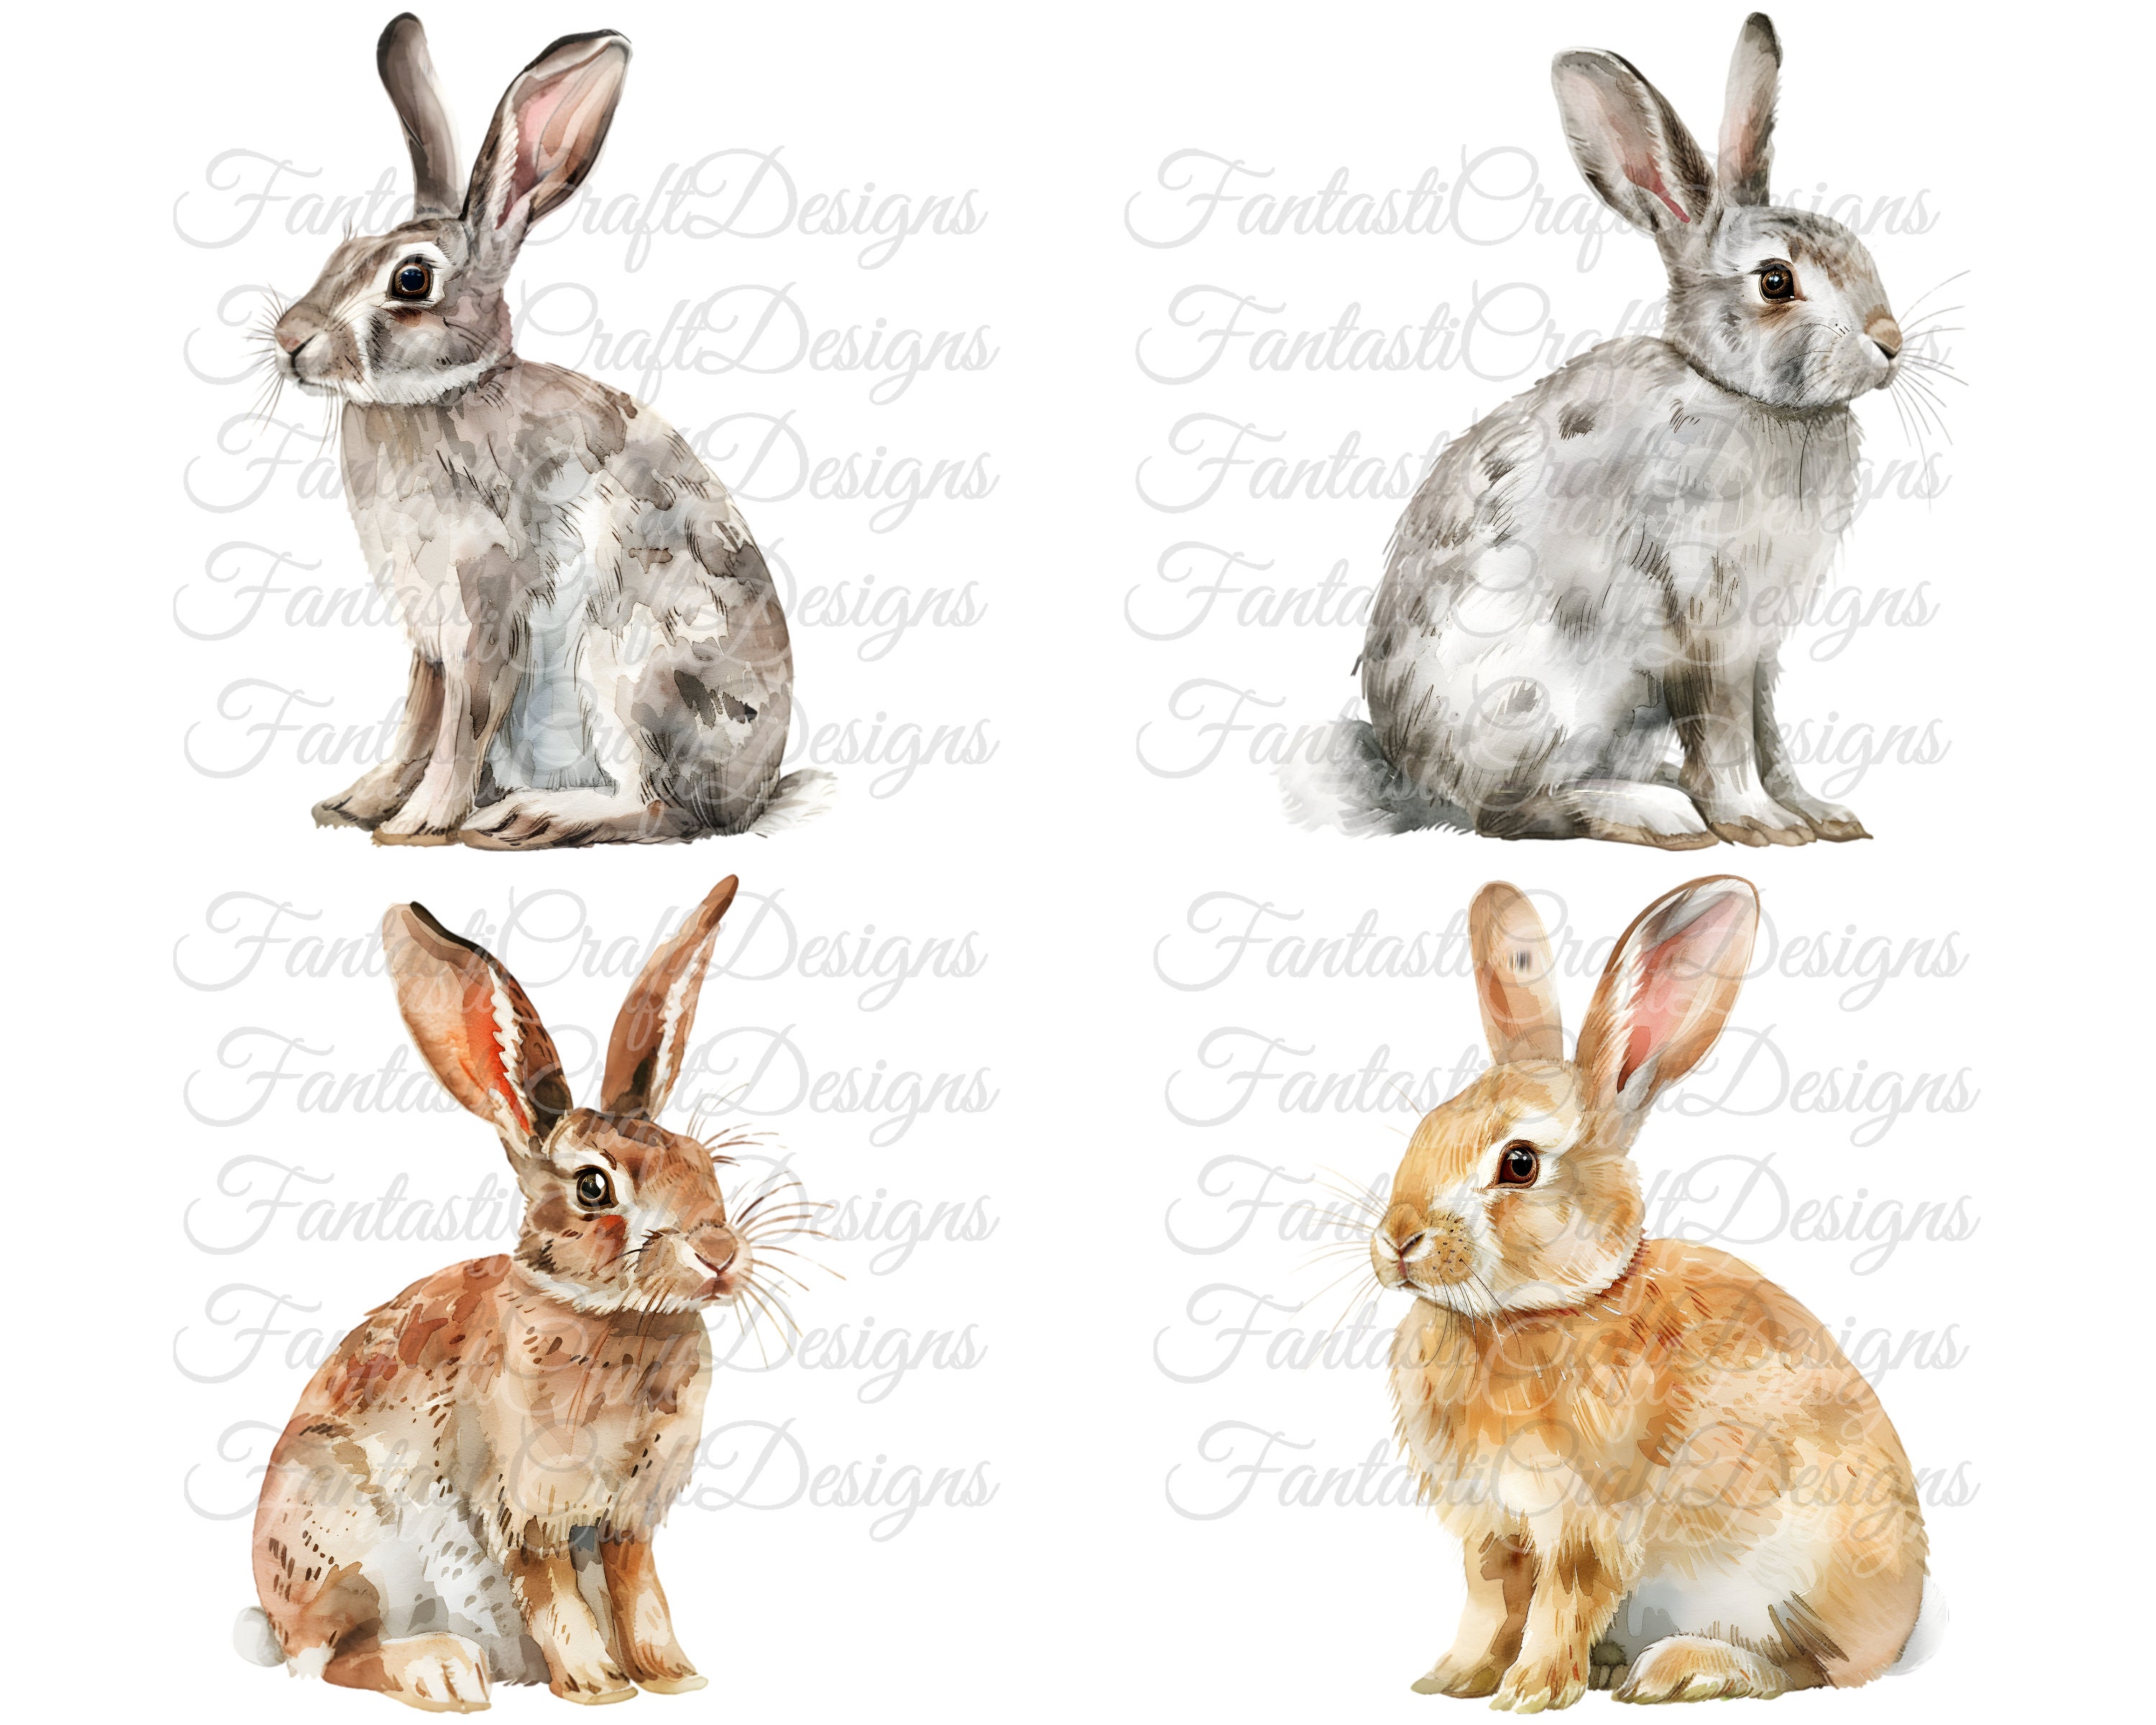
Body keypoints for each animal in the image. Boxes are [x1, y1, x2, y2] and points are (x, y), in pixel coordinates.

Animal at [233, 875, 791, 1709]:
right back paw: (442, 1670)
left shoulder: (629, 1517)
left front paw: (673, 1677)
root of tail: (269, 1613)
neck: (618, 1317)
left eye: (700, 1162)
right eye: (593, 1187)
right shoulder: (523, 1505)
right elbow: (553, 1597)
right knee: (332, 1656)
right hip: (345, 1545)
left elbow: (641, 1593)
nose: (720, 1254)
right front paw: (598, 1687)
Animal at [272, 16, 829, 848]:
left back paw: (531, 814)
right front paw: (357, 803)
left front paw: (418, 824)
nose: (289, 340)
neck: (441, 392)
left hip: (632, 666)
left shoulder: (487, 603)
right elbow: (418, 721)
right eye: (341, 252)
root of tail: (754, 796)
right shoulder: (427, 635)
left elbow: (462, 724)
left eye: (411, 280)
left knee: (660, 810)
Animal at [1290, 15, 1904, 849]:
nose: (1891, 342)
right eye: (1776, 282)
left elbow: (1769, 731)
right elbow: (1724, 732)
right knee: (1514, 812)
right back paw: (1662, 813)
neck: (1749, 399)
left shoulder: (1763, 644)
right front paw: (1757, 824)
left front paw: (1819, 815)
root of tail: (1411, 767)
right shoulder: (1706, 623)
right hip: (1542, 700)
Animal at [1370, 876, 1934, 1708]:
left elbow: (1559, 1603)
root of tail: (1903, 1621)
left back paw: (1679, 1670)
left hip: (1796, 1576)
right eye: (1425, 1129)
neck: (1539, 1308)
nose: (1399, 1241)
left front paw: (1531, 1691)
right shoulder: (1490, 1526)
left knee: (1810, 1671)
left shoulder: (1585, 1523)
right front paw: (1451, 1679)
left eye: (1519, 1163)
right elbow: (1490, 1604)